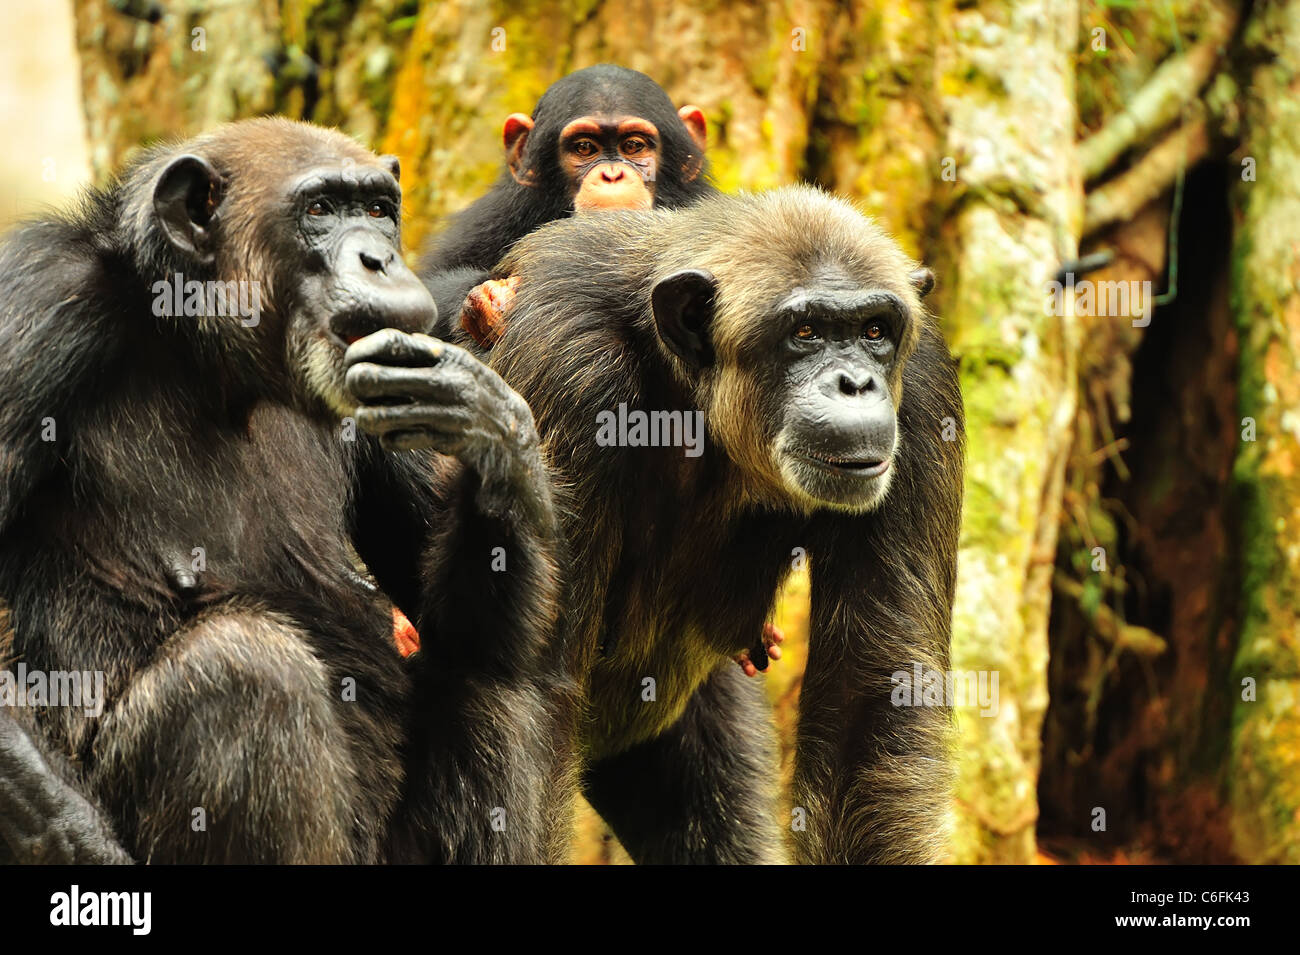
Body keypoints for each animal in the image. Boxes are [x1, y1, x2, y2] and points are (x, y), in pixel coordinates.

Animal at [0, 118, 568, 864]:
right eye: (320, 209)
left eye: (378, 210)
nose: (379, 259)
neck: (212, 359)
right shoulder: (38, 304)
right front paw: (77, 842)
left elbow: (460, 615)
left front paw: (486, 415)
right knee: (244, 669)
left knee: (489, 675)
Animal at [347, 185, 966, 863]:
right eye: (805, 332)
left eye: (875, 330)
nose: (856, 382)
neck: (691, 393)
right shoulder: (565, 360)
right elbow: (534, 688)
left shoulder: (923, 390)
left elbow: (869, 704)